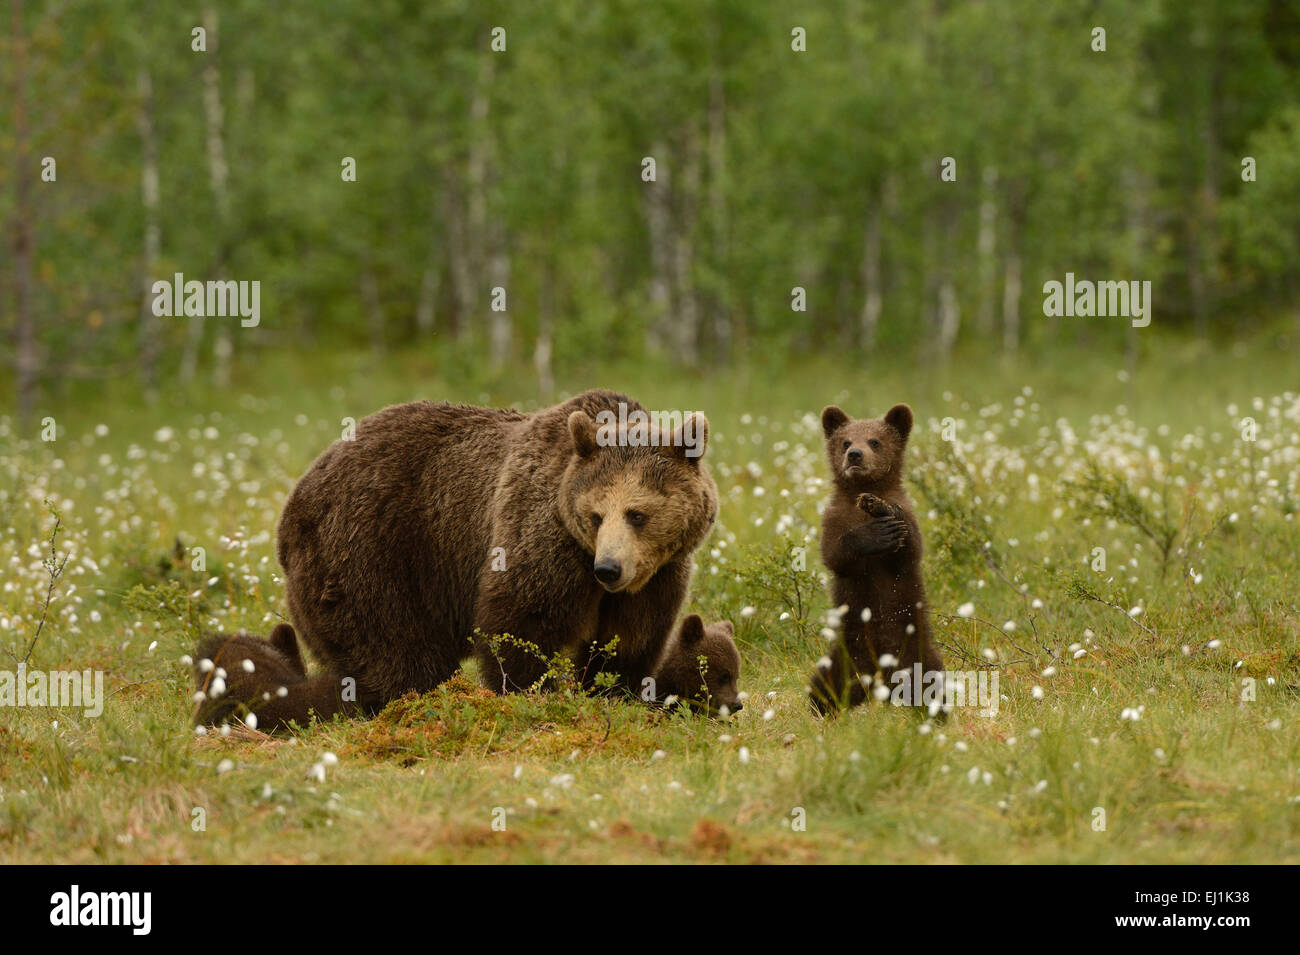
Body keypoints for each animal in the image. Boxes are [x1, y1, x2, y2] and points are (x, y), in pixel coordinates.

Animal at [196, 390, 717, 728]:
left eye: (637, 514)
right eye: (595, 515)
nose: (608, 568)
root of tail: (294, 502)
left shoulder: (658, 575)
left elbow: (629, 640)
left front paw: (616, 692)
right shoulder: (540, 539)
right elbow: (521, 622)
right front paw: (529, 696)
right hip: (369, 553)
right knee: (396, 652)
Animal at [807, 402, 943, 714]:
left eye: (875, 441)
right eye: (846, 442)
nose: (855, 455)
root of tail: (881, 681)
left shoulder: (908, 514)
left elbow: (909, 550)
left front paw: (882, 510)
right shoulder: (834, 518)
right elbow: (834, 555)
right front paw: (874, 533)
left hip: (916, 651)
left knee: (932, 680)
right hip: (847, 655)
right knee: (824, 684)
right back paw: (821, 707)